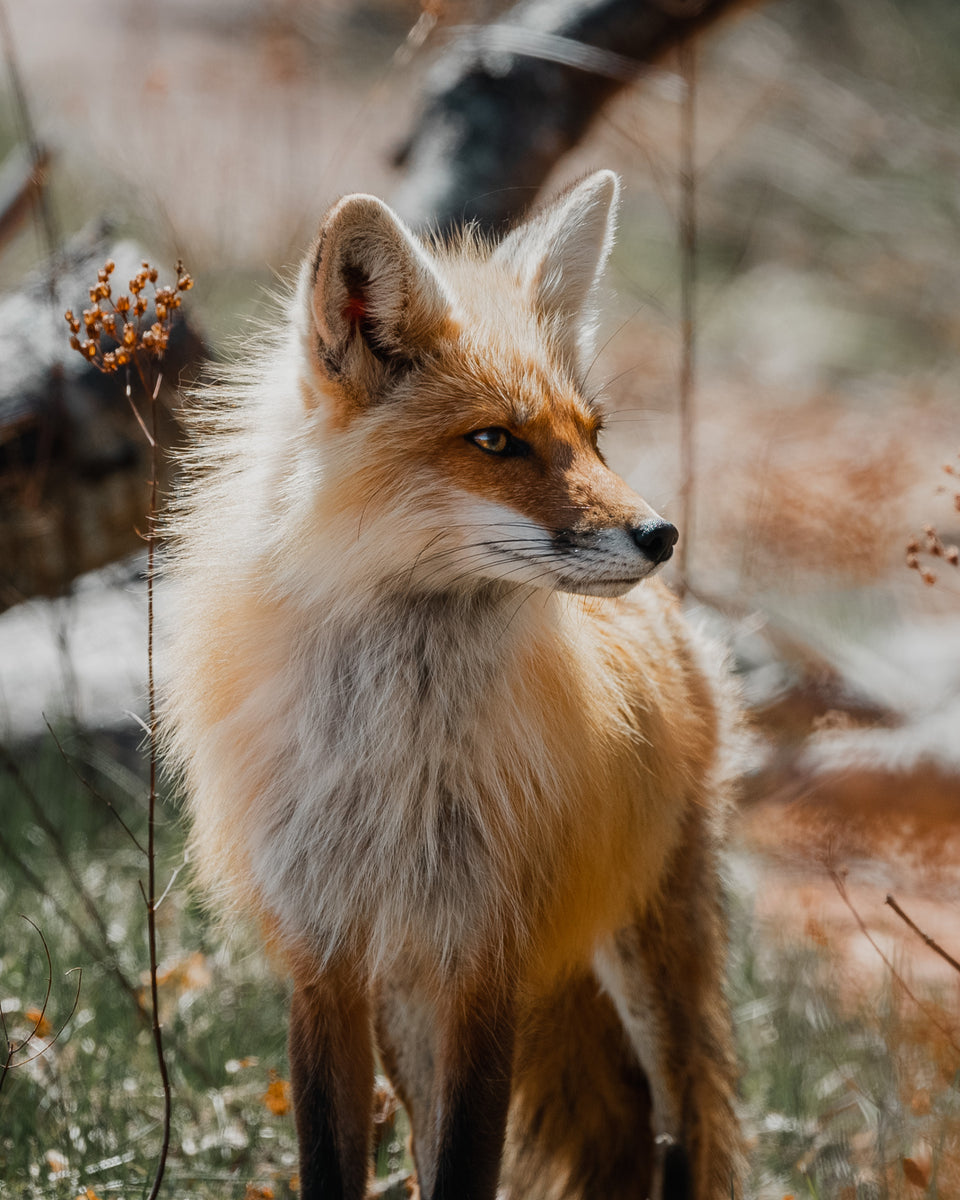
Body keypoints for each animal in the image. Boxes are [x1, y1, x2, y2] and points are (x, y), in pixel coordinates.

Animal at [163, 170, 743, 1200]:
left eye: (592, 437)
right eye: (497, 441)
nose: (662, 534)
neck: (391, 757)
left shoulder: (485, 961)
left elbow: (469, 1164)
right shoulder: (326, 963)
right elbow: (343, 1164)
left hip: (652, 965)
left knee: (681, 1137)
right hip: (406, 1002)